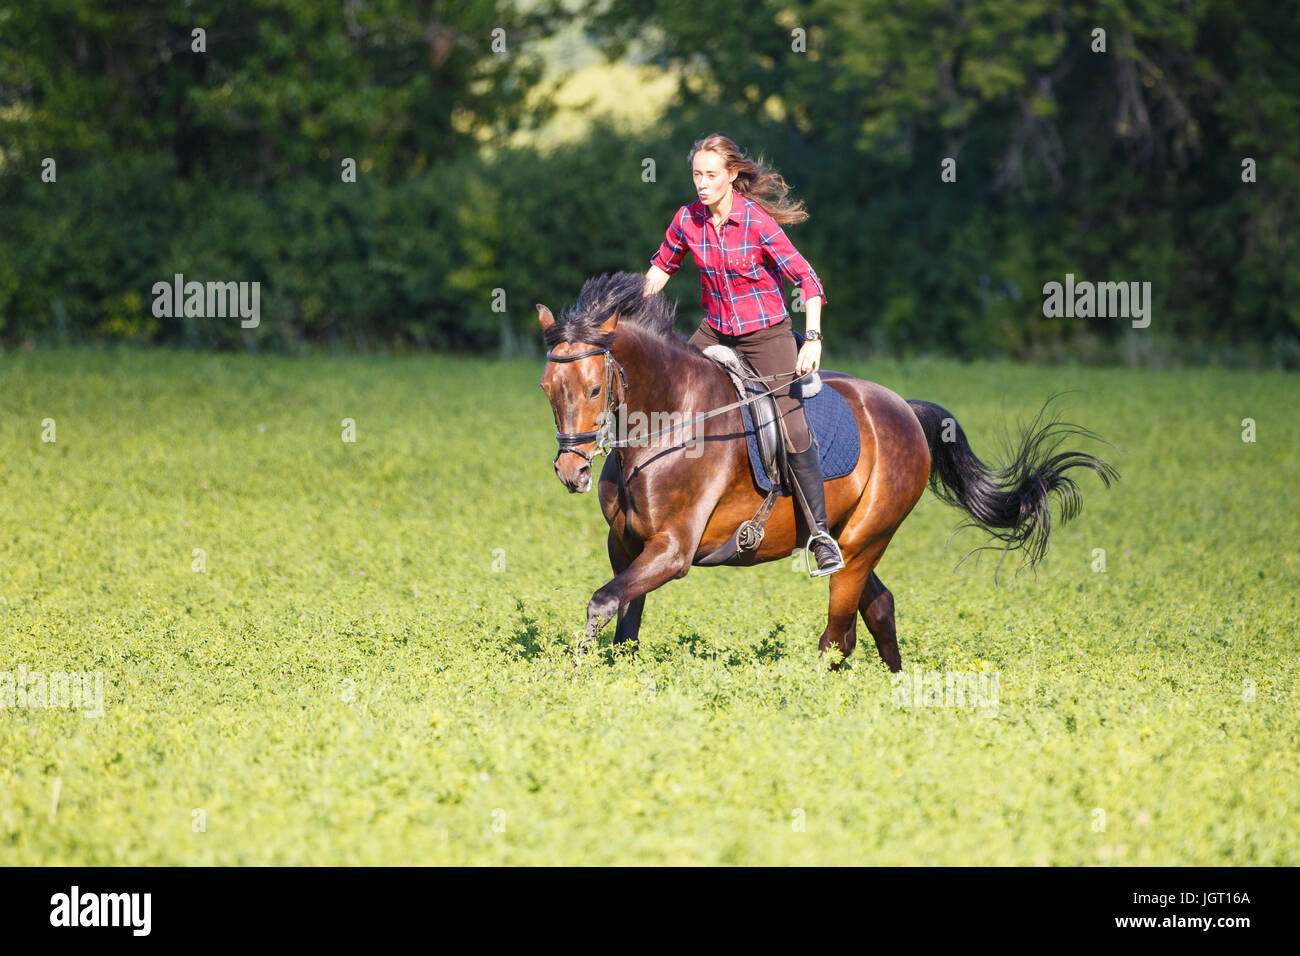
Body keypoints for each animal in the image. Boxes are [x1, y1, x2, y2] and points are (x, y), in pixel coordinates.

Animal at [537, 272, 1116, 670]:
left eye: (595, 389)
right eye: (547, 388)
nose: (571, 472)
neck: (668, 424)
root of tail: (905, 408)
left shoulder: (672, 550)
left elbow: (602, 602)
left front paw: (572, 677)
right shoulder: (627, 545)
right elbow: (625, 624)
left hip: (864, 539)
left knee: (838, 635)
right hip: (850, 534)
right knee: (879, 608)